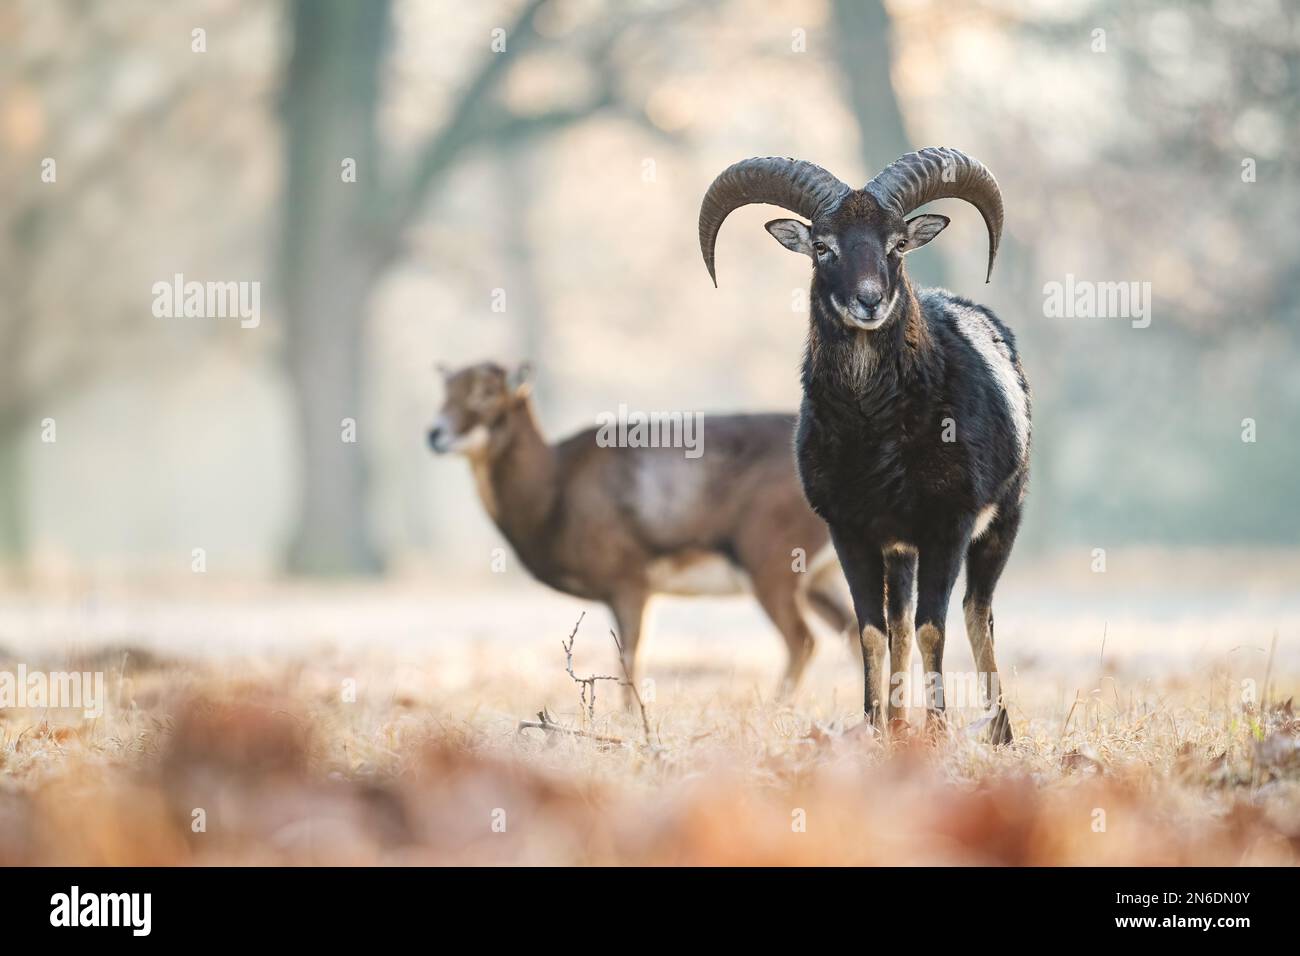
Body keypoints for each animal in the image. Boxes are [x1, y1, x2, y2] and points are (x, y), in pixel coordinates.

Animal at [698, 147, 1029, 743]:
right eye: (822, 246)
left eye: (896, 243)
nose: (869, 301)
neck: (878, 433)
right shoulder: (852, 531)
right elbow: (873, 630)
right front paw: (877, 729)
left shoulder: (947, 527)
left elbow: (932, 627)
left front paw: (937, 734)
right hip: (899, 551)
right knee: (900, 621)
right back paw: (901, 723)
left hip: (1000, 526)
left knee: (977, 611)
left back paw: (998, 733)